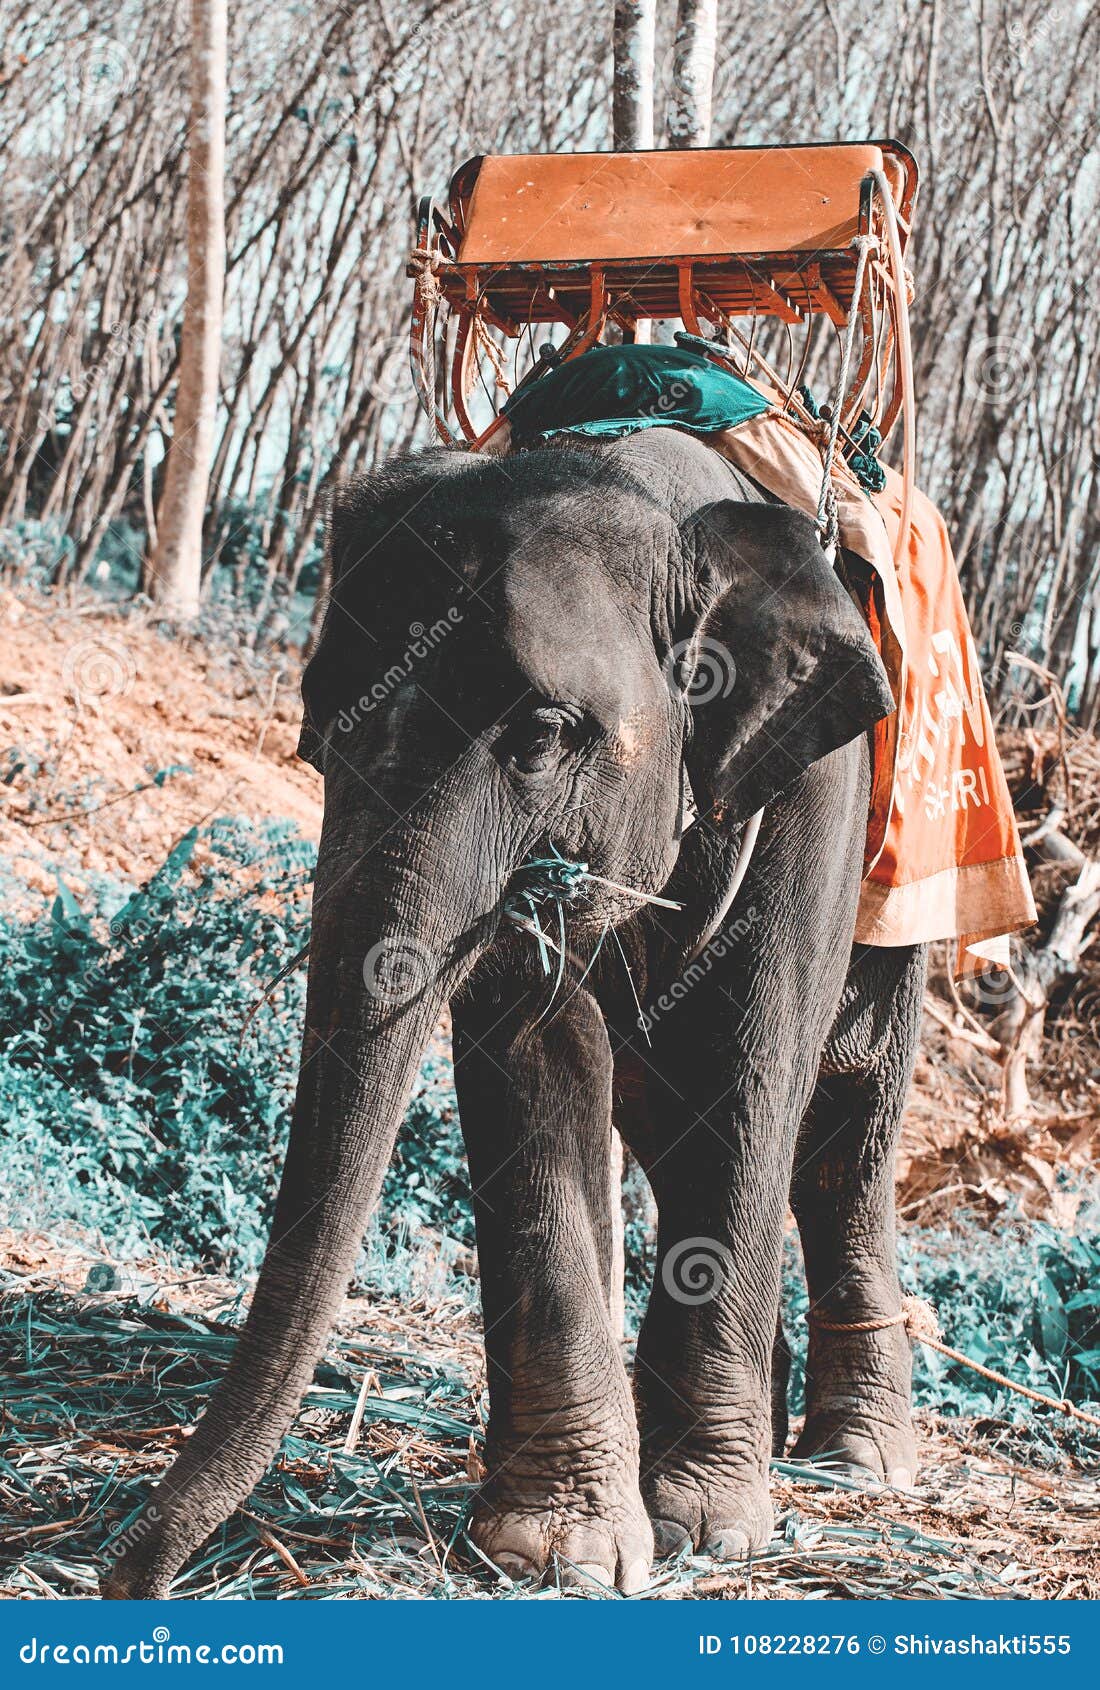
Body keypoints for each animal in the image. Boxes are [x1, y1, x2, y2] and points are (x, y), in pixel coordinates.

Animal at [104, 425, 927, 1598]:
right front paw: (560, 1549)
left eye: (539, 735)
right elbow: (537, 1057)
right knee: (666, 1120)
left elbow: (748, 1068)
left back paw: (853, 1461)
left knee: (838, 1131)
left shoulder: (819, 788)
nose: (121, 1576)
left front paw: (709, 1527)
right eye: (315, 741)